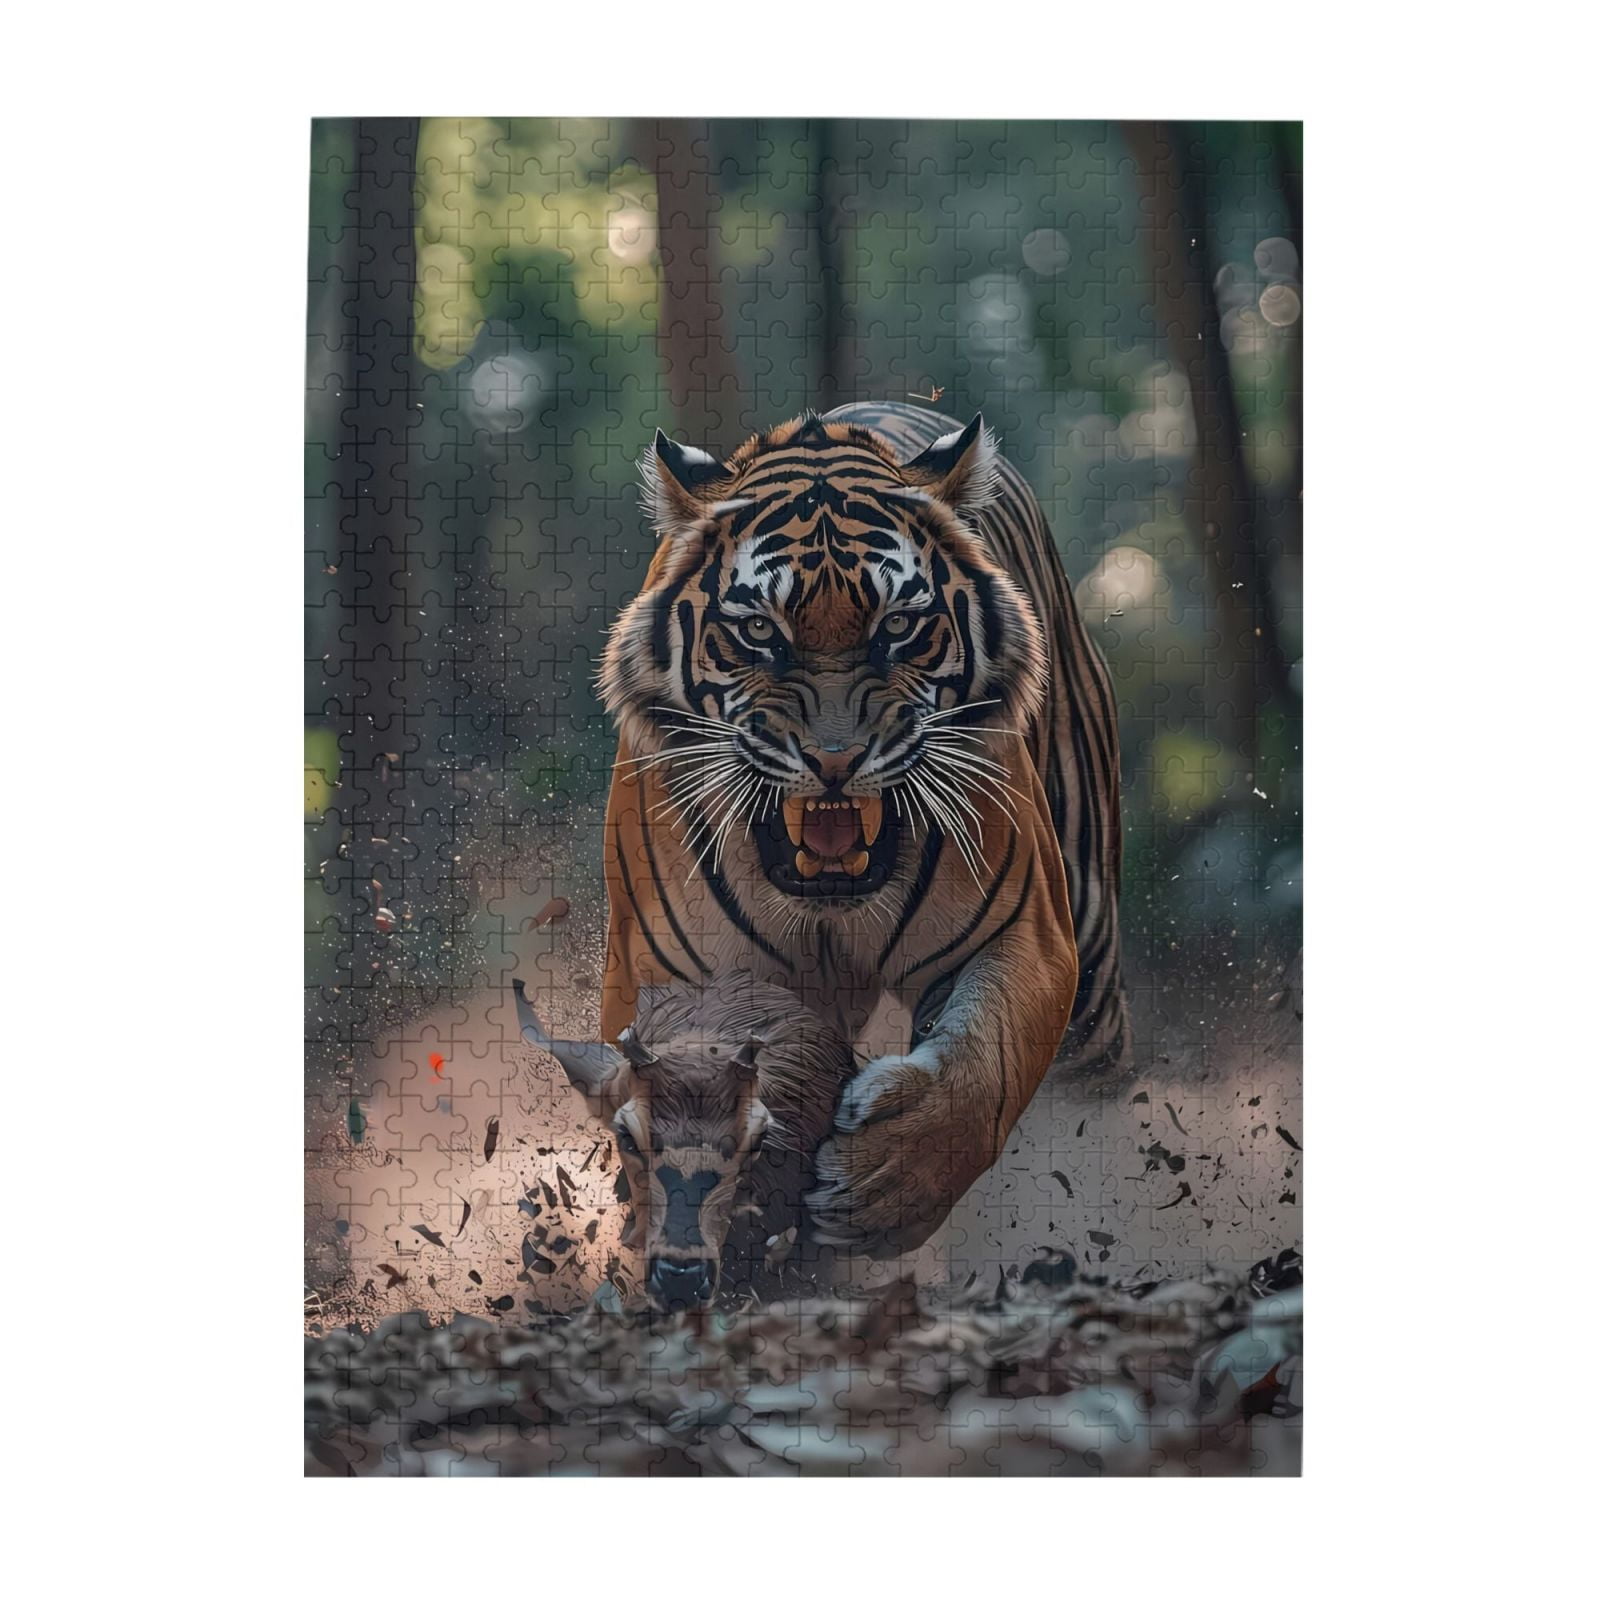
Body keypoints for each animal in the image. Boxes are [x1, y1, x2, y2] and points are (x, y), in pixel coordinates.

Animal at [597, 402, 1126, 1257]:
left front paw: (882, 1187)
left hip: (1094, 972)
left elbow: (985, 1069)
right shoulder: (679, 980)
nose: (836, 760)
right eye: (760, 632)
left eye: (899, 625)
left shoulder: (1026, 933)